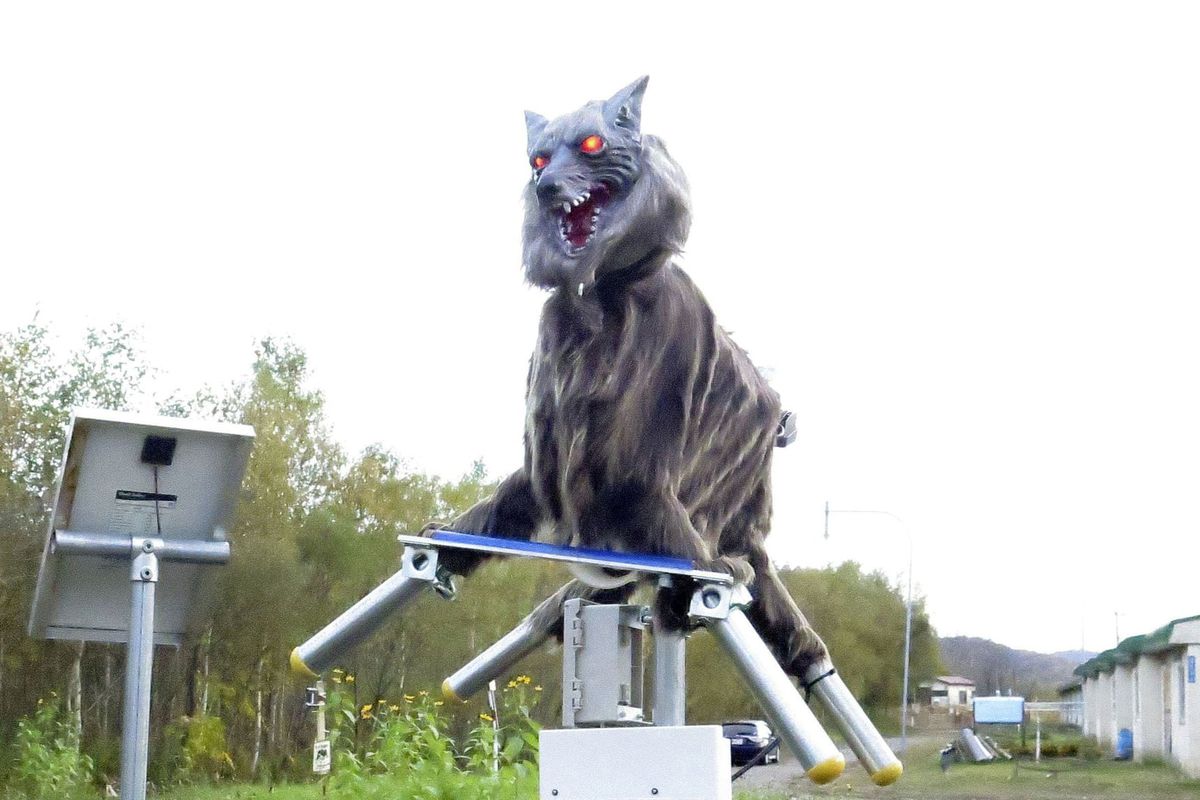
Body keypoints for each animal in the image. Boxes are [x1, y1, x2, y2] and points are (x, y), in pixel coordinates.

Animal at [430, 76, 828, 678]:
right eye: (538, 158)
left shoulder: (642, 462)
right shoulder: (549, 448)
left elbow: (677, 549)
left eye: (592, 145)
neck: (600, 298)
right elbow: (506, 504)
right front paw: (450, 540)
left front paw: (703, 577)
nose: (545, 185)